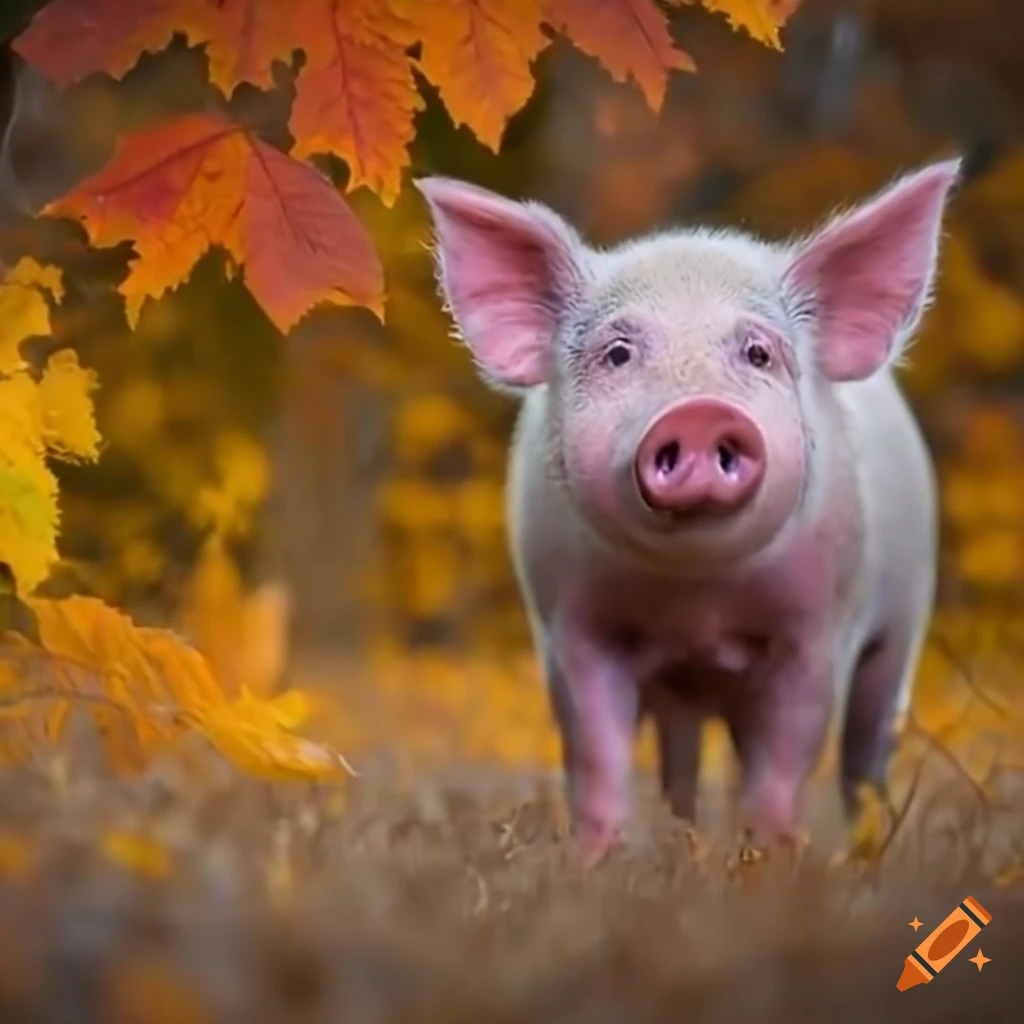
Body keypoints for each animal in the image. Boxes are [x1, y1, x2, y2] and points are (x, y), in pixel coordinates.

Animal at [415, 159, 960, 863]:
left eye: (758, 353)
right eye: (618, 352)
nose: (700, 412)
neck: (697, 604)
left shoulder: (818, 633)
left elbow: (783, 762)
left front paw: (769, 863)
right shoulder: (570, 627)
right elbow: (597, 758)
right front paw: (597, 865)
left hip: (900, 631)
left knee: (863, 753)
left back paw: (866, 846)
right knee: (682, 757)